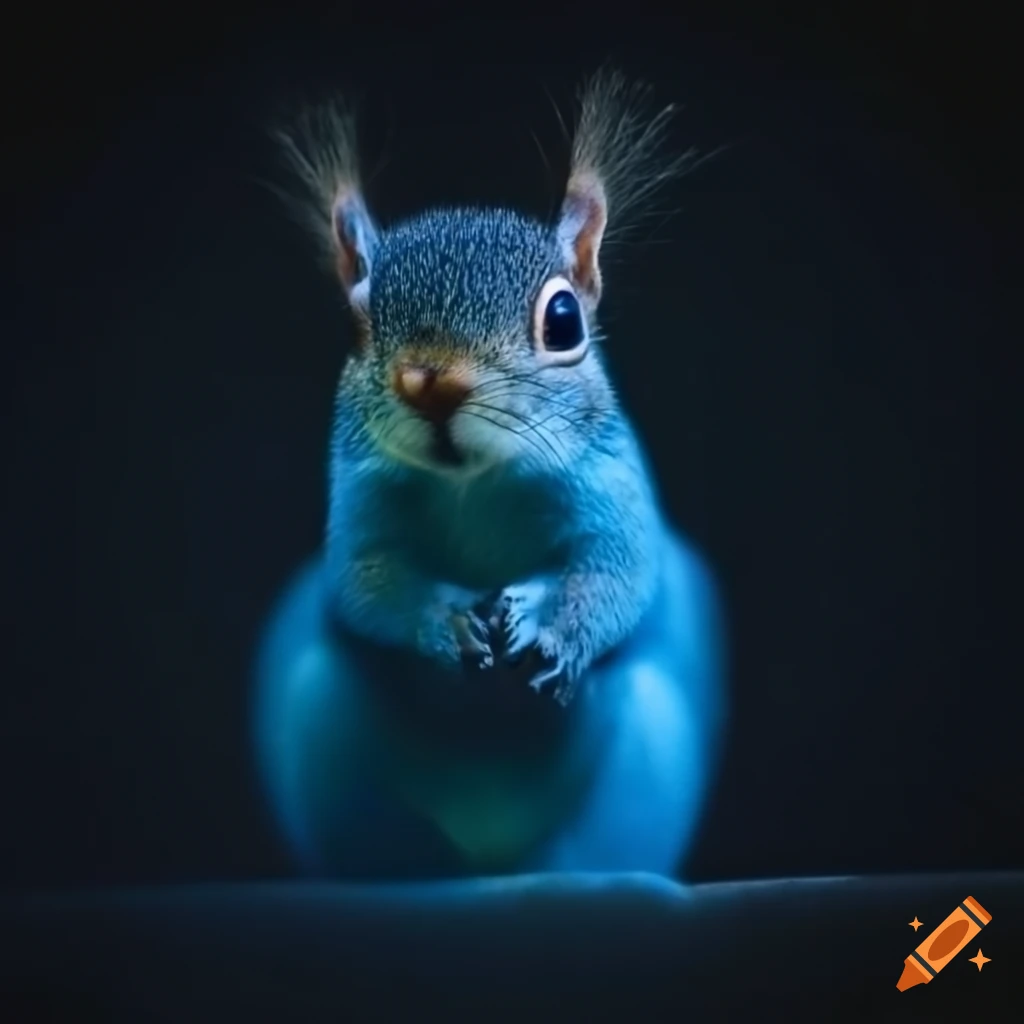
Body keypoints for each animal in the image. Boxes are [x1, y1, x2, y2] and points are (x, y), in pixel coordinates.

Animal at [253, 70, 727, 880]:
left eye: (563, 320)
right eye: (355, 326)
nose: (429, 383)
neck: (472, 488)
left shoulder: (615, 497)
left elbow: (620, 577)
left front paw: (550, 625)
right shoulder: (361, 516)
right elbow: (368, 587)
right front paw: (445, 620)